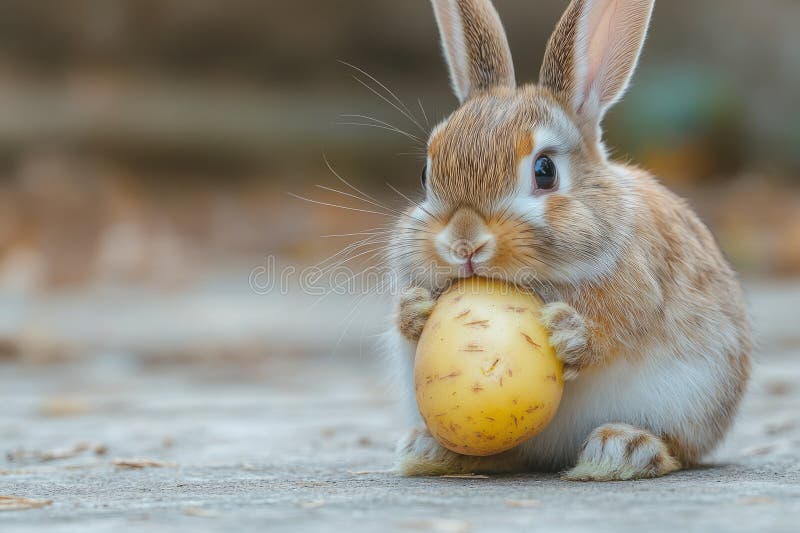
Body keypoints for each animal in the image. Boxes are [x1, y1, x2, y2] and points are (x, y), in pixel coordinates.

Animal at [386, 0, 751, 481]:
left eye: (545, 171)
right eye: (426, 174)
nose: (465, 245)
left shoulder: (638, 293)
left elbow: (608, 333)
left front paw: (566, 333)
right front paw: (415, 312)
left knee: (676, 448)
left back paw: (621, 450)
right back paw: (430, 452)